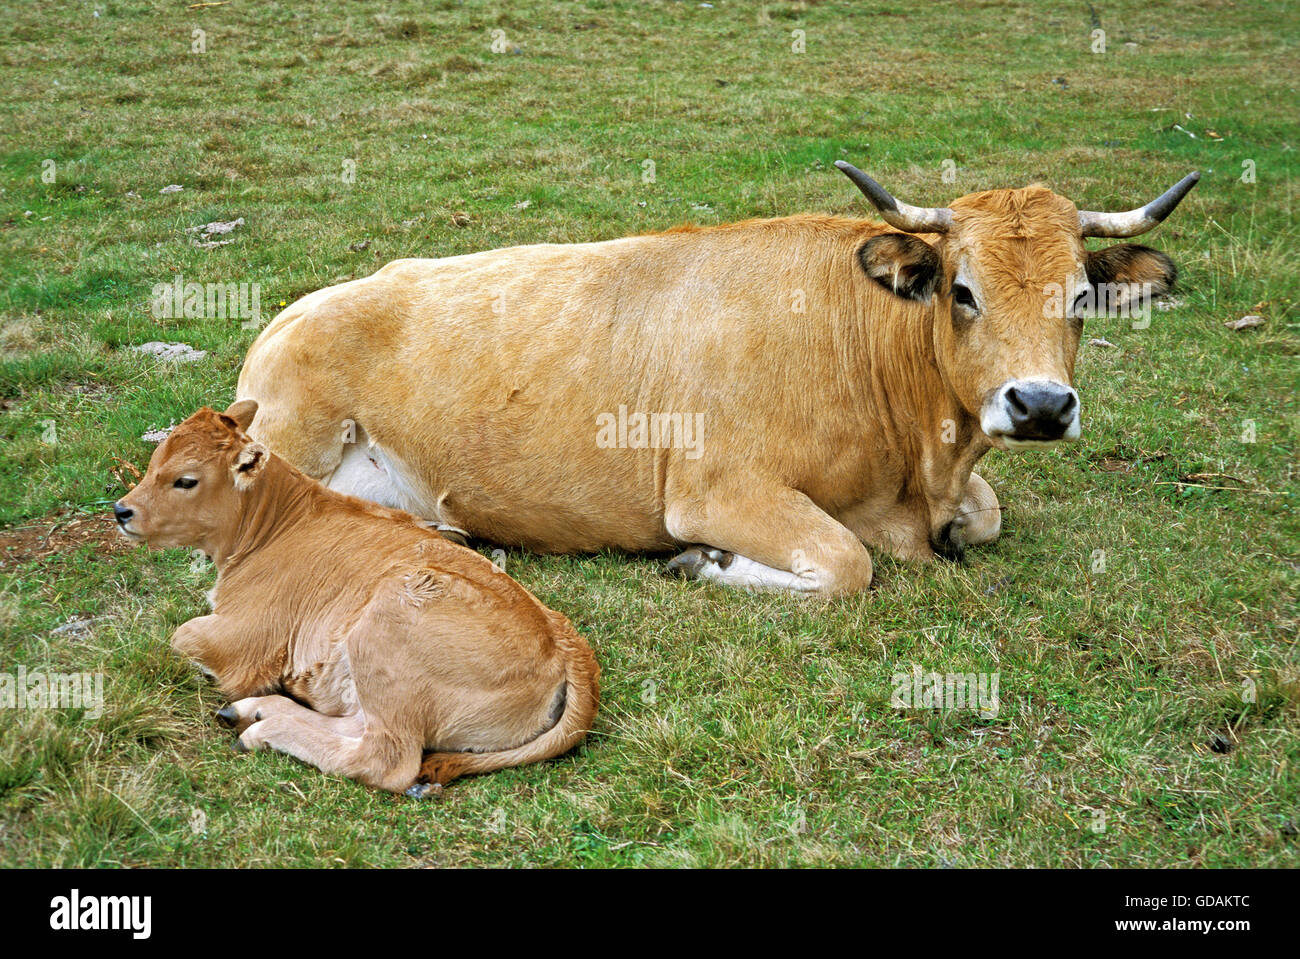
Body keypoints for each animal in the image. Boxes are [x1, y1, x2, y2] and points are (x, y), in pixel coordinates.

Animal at [113, 401, 599, 794]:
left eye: (185, 480)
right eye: (154, 462)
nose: (121, 510)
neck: (271, 525)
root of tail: (563, 640)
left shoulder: (245, 639)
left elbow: (182, 635)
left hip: (388, 624)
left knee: (384, 758)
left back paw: (263, 730)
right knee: (358, 723)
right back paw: (253, 712)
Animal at [234, 162, 1198, 596]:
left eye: (1079, 296)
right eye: (963, 292)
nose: (1040, 404)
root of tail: (293, 310)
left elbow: (987, 516)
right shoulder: (717, 488)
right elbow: (845, 564)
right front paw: (706, 561)